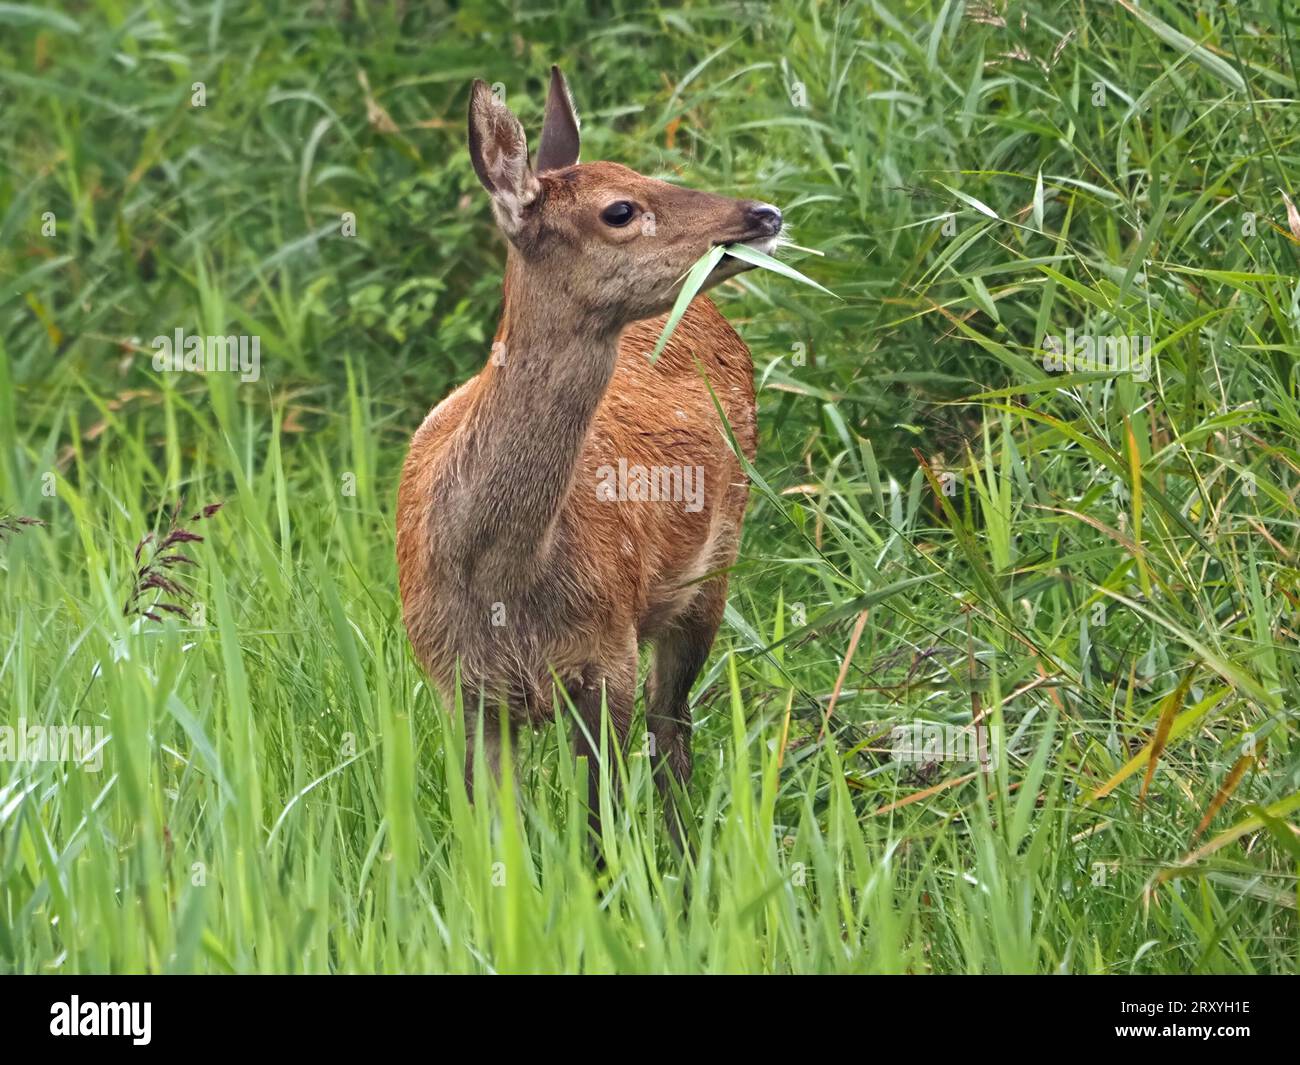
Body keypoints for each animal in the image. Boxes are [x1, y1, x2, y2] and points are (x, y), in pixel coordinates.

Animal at [396, 67, 783, 848]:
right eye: (620, 209)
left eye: (640, 174)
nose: (763, 213)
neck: (501, 578)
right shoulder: (459, 684)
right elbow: (493, 832)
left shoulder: (609, 654)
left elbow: (599, 823)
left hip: (714, 569)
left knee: (674, 728)